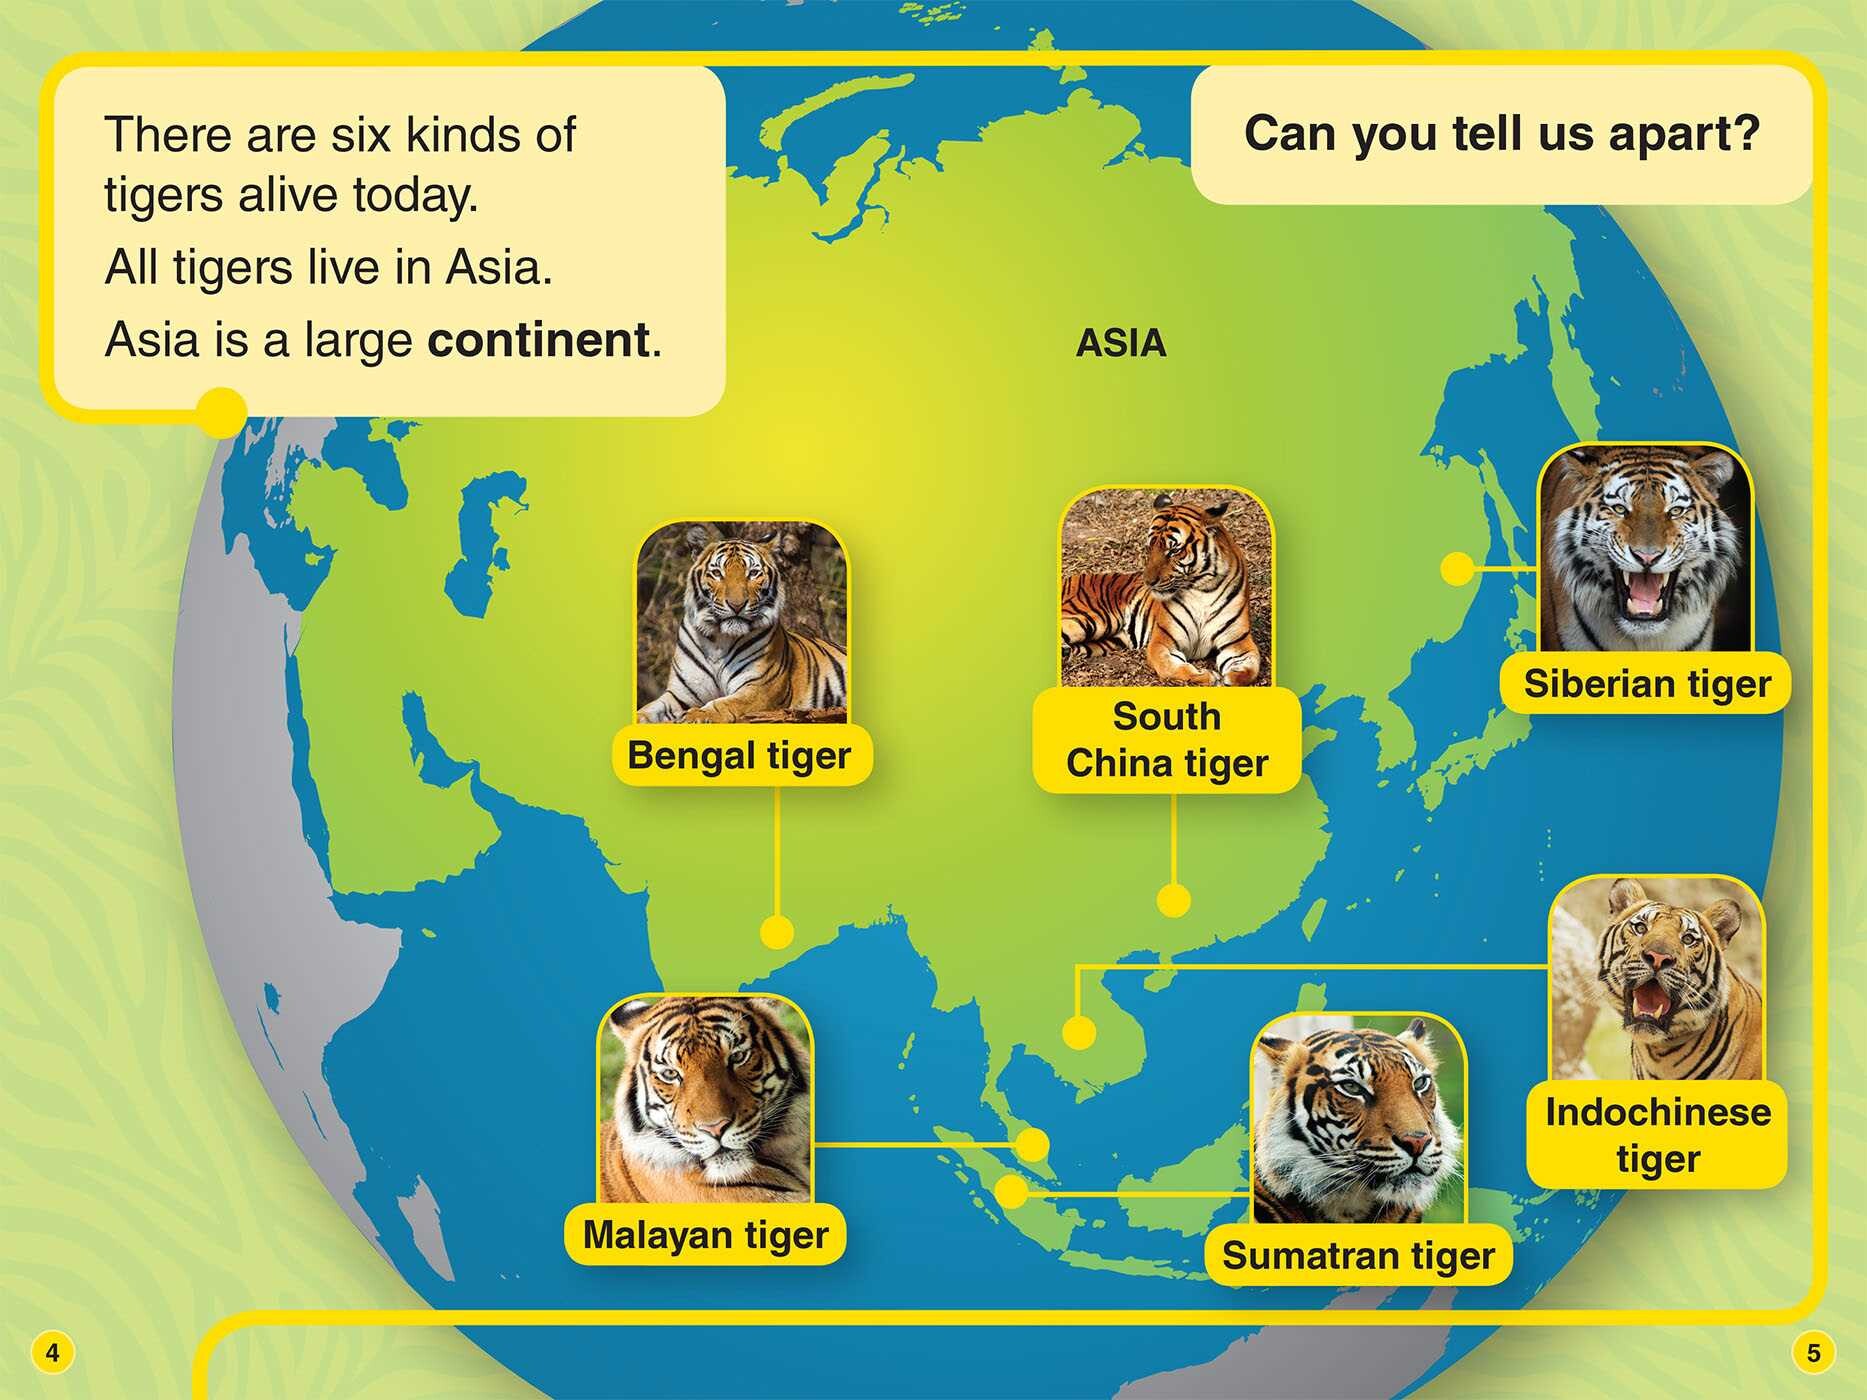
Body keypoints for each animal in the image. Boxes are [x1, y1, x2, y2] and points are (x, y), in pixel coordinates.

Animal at [636, 538, 847, 723]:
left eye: (753, 573)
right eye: (717, 573)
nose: (736, 605)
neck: (718, 638)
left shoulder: (760, 687)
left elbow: (725, 703)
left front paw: (696, 715)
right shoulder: (680, 695)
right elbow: (650, 708)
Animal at [1060, 493, 1263, 685]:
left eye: (1174, 551)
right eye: (1149, 548)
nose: (1148, 582)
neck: (1202, 589)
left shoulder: (1238, 643)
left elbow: (1248, 672)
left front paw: (1226, 679)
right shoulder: (1162, 641)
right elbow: (1170, 667)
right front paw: (1206, 676)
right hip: (1090, 618)